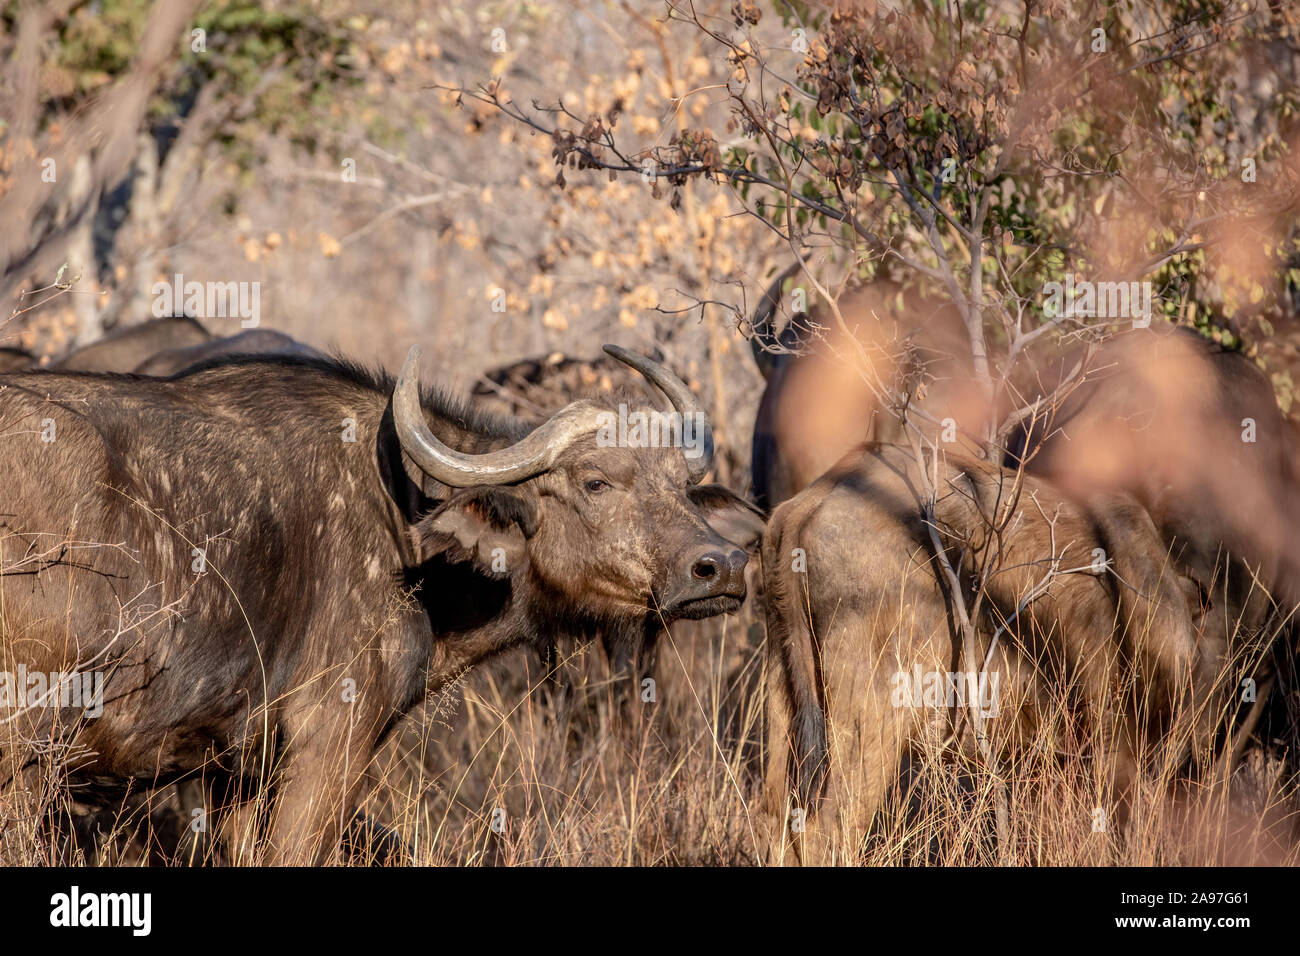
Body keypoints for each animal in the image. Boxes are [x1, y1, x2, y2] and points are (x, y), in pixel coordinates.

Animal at [0, 344, 761, 864]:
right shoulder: (330, 745)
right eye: (595, 481)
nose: (720, 567)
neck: (407, 530)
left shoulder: (237, 773)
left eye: (679, 486)